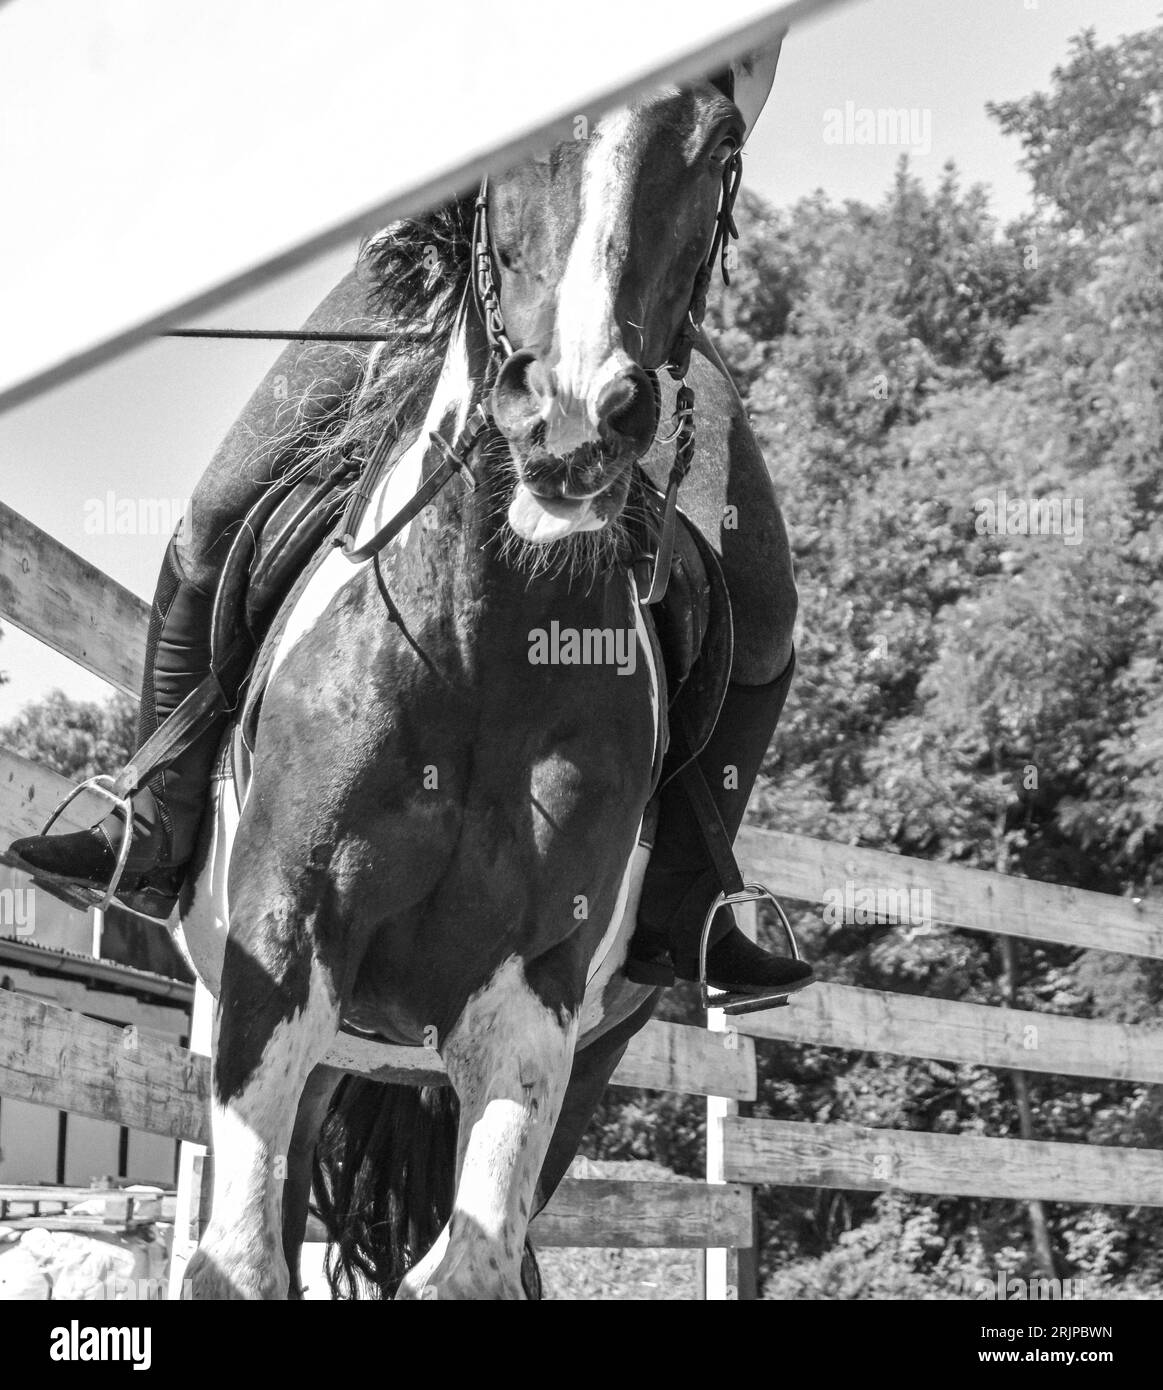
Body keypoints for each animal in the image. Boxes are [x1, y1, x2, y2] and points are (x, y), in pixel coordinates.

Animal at [175, 41, 786, 1300]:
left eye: (716, 152)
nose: (572, 419)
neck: (478, 646)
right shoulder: (279, 944)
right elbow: (240, 1259)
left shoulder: (532, 995)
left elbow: (465, 1262)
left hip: (573, 1061)